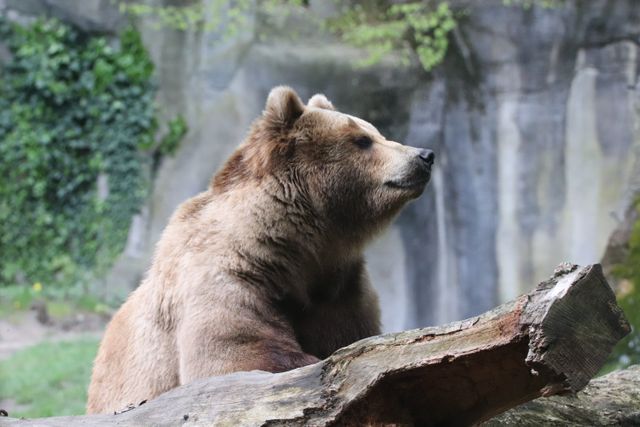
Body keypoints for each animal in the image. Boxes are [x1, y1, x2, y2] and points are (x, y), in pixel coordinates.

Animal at [86, 86, 434, 414]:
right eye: (362, 140)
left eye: (375, 132)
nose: (424, 155)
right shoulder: (228, 275)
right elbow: (237, 354)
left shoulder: (340, 290)